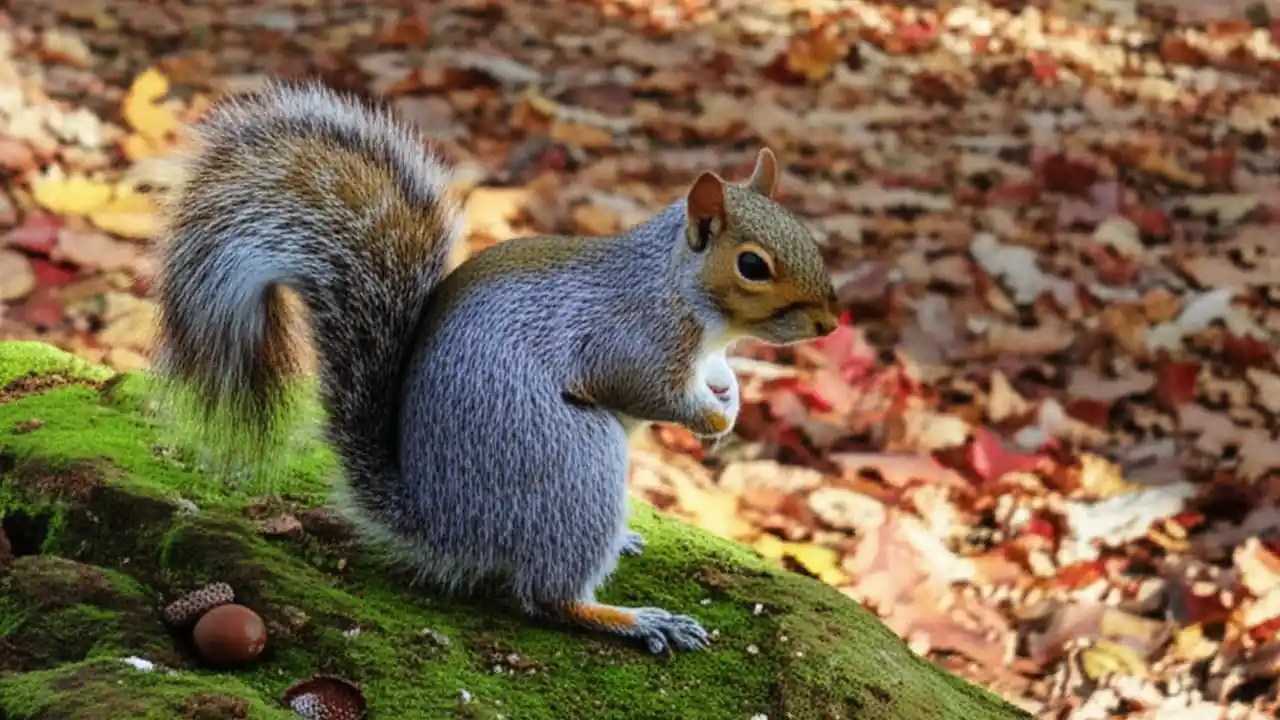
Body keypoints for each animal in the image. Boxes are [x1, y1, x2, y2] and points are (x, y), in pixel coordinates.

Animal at [153, 81, 839, 654]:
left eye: (807, 233)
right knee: (548, 595)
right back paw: (633, 619)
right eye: (752, 265)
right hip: (573, 461)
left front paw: (730, 399)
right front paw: (710, 421)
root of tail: (448, 527)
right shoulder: (628, 337)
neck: (687, 299)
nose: (831, 323)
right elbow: (647, 390)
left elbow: (719, 376)